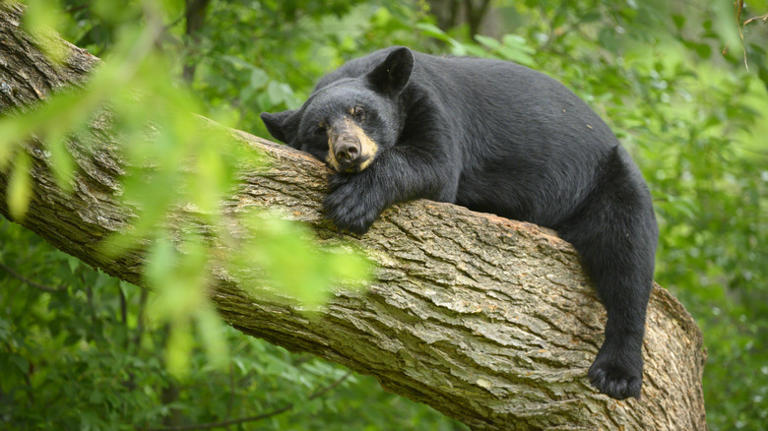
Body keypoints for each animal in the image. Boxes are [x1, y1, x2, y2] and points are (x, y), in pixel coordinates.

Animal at [261, 46, 658, 401]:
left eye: (360, 112)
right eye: (319, 128)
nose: (348, 151)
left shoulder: (433, 106)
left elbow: (434, 164)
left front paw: (352, 202)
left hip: (608, 181)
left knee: (627, 256)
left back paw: (617, 373)